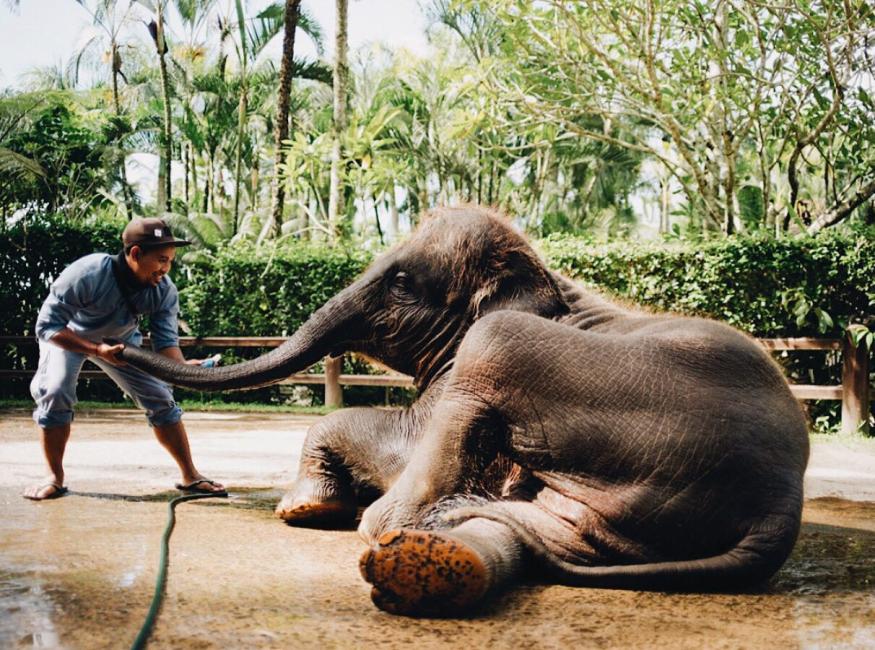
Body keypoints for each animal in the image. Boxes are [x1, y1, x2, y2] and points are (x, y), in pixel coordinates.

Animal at [117, 205, 810, 617]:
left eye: (400, 282)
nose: (117, 344)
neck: (542, 271)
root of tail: (779, 506)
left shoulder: (459, 371)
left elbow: (388, 436)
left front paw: (304, 510)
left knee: (493, 357)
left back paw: (389, 530)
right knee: (556, 530)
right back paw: (435, 552)